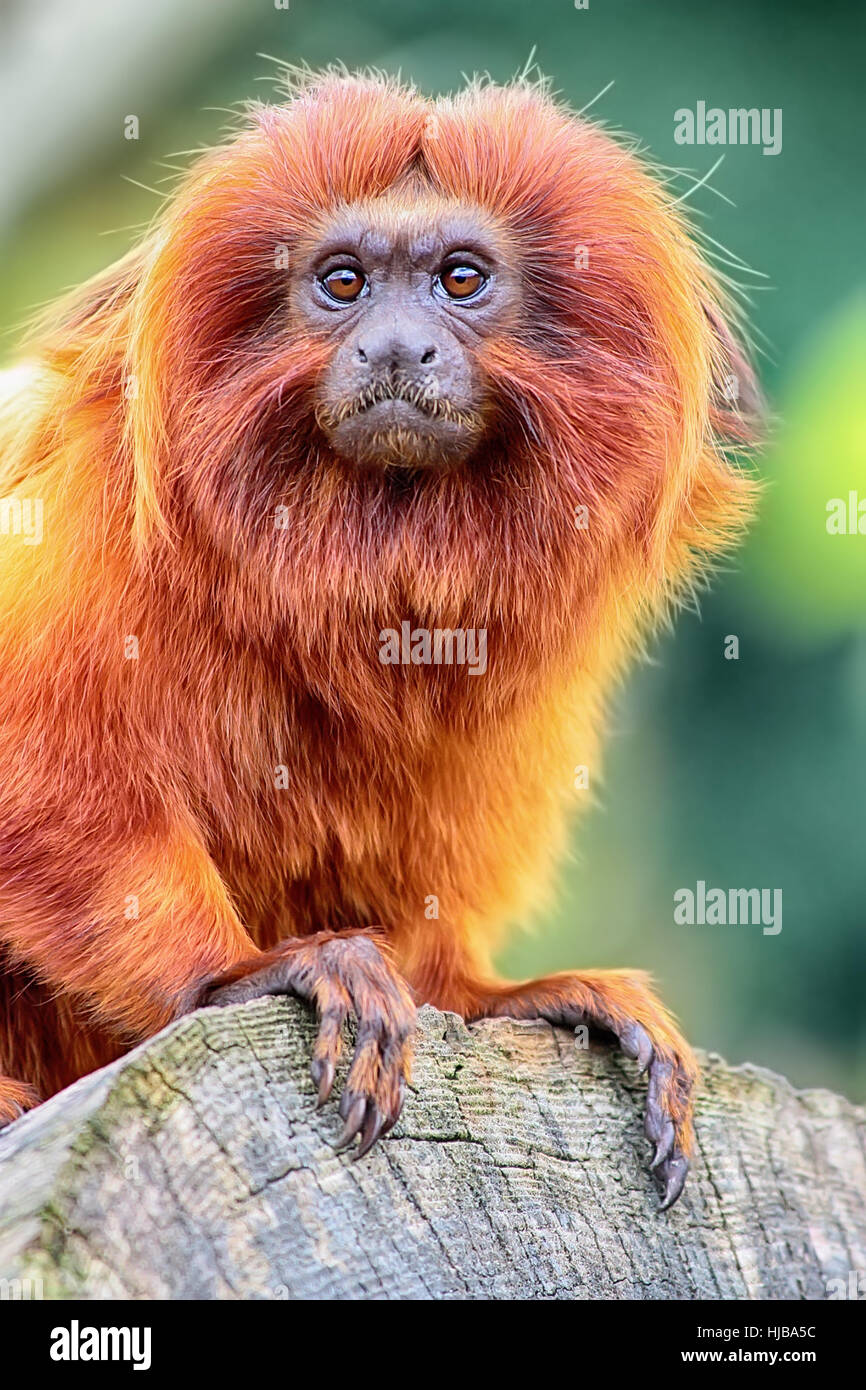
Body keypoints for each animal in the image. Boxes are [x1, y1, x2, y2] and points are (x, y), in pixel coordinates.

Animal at [0, 70, 760, 1209]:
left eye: (458, 278)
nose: (398, 346)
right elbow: (42, 773)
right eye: (345, 281)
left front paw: (494, 994)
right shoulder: (84, 506)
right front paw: (237, 972)